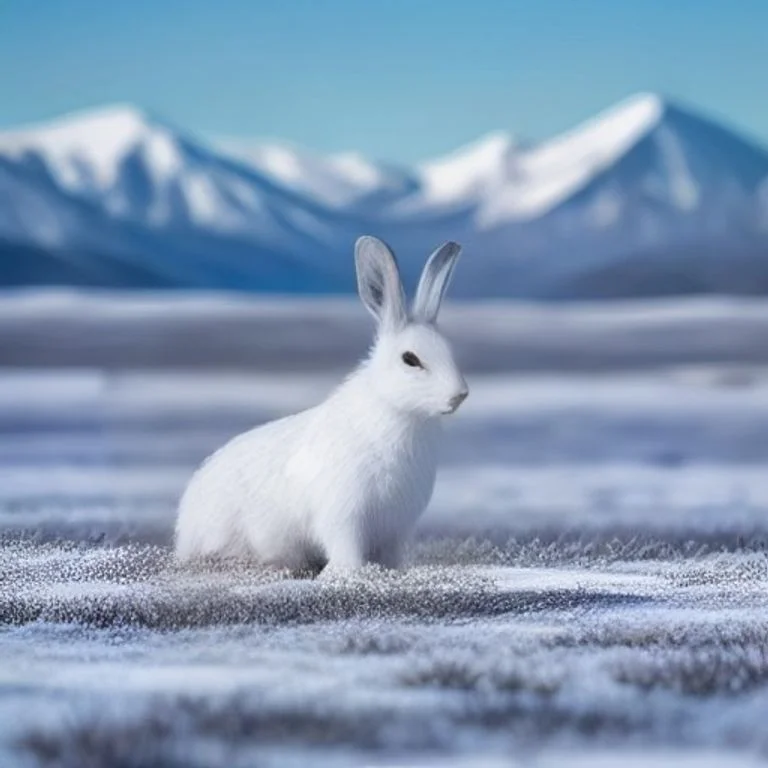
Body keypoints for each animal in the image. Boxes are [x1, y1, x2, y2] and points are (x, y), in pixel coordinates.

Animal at [174, 235, 468, 572]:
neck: (399, 411)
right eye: (410, 359)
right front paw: (351, 572)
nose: (460, 394)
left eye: (449, 350)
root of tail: (184, 526)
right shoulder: (345, 515)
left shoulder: (396, 528)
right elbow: (346, 549)